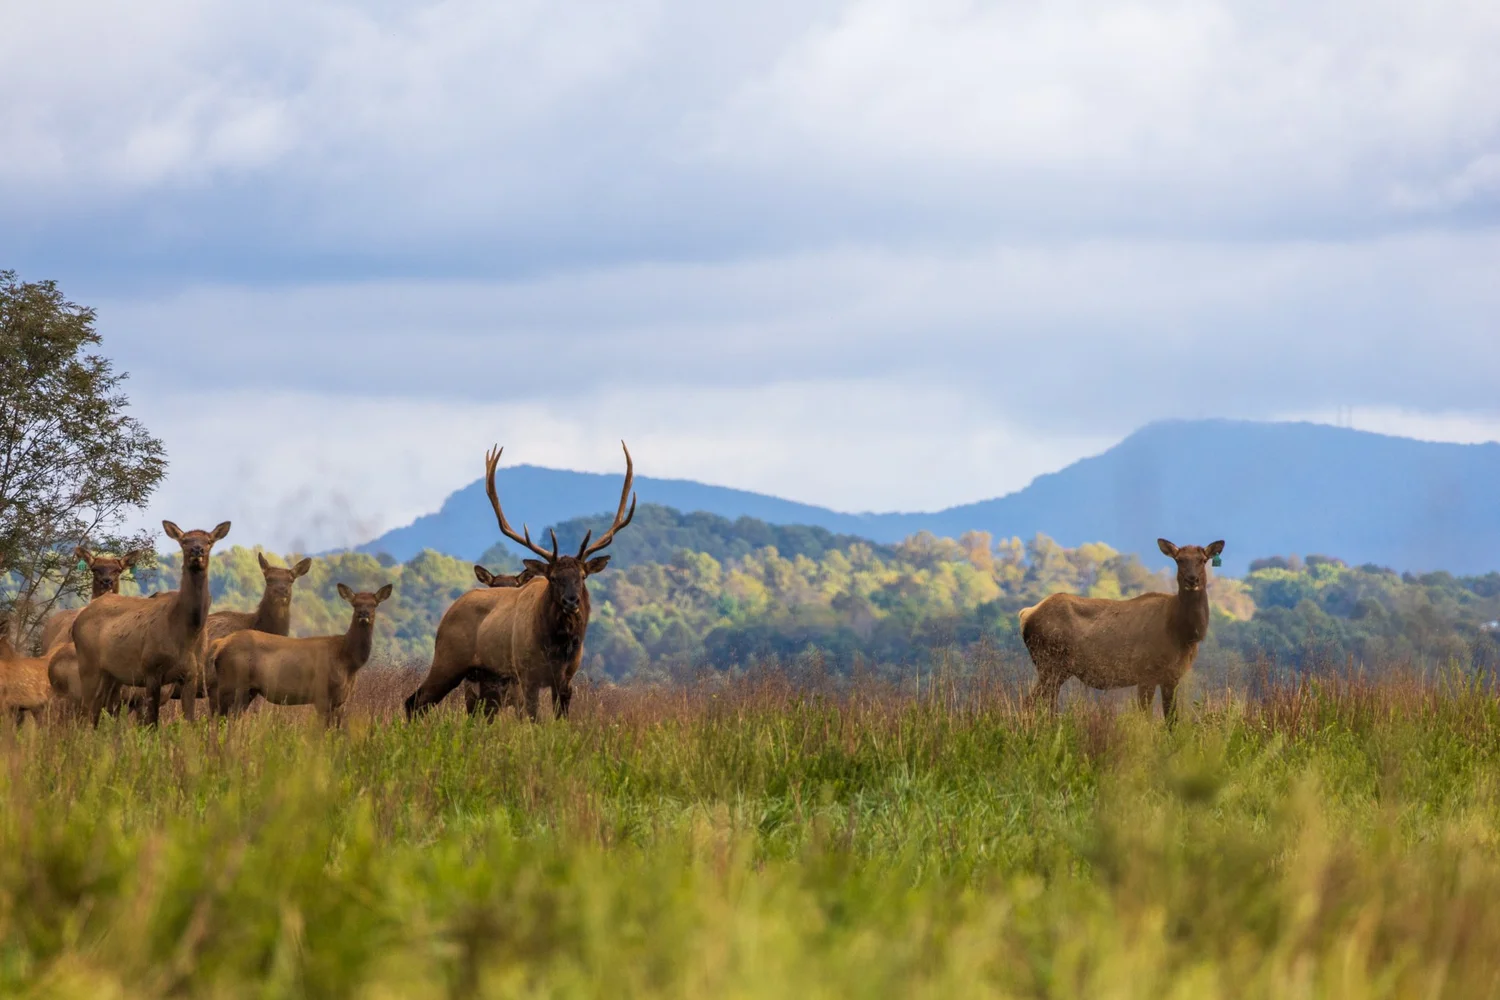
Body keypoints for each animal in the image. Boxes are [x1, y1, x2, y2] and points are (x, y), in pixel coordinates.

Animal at [72, 520, 231, 726]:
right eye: (184, 541)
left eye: (209, 541)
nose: (197, 550)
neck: (187, 632)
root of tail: (78, 619)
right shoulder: (151, 668)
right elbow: (152, 723)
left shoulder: (192, 674)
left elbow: (189, 721)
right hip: (88, 665)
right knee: (85, 712)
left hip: (110, 675)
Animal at [210, 583, 393, 727]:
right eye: (355, 603)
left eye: (374, 604)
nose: (364, 614)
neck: (348, 662)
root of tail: (220, 644)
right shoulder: (321, 693)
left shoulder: (339, 701)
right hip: (231, 683)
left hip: (248, 689)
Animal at [404, 442, 635, 720]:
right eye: (553, 578)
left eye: (582, 576)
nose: (572, 601)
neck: (557, 647)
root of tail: (448, 613)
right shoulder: (527, 675)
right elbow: (534, 719)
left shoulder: (566, 680)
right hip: (447, 660)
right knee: (414, 701)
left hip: (482, 678)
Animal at [1019, 538, 1225, 723]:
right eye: (1179, 559)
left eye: (1203, 559)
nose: (1192, 579)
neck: (1183, 634)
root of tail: (1026, 615)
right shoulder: (1146, 671)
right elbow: (1145, 717)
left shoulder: (1172, 676)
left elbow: (1171, 720)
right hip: (1049, 663)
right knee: (1031, 702)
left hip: (1057, 669)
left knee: (1047, 703)